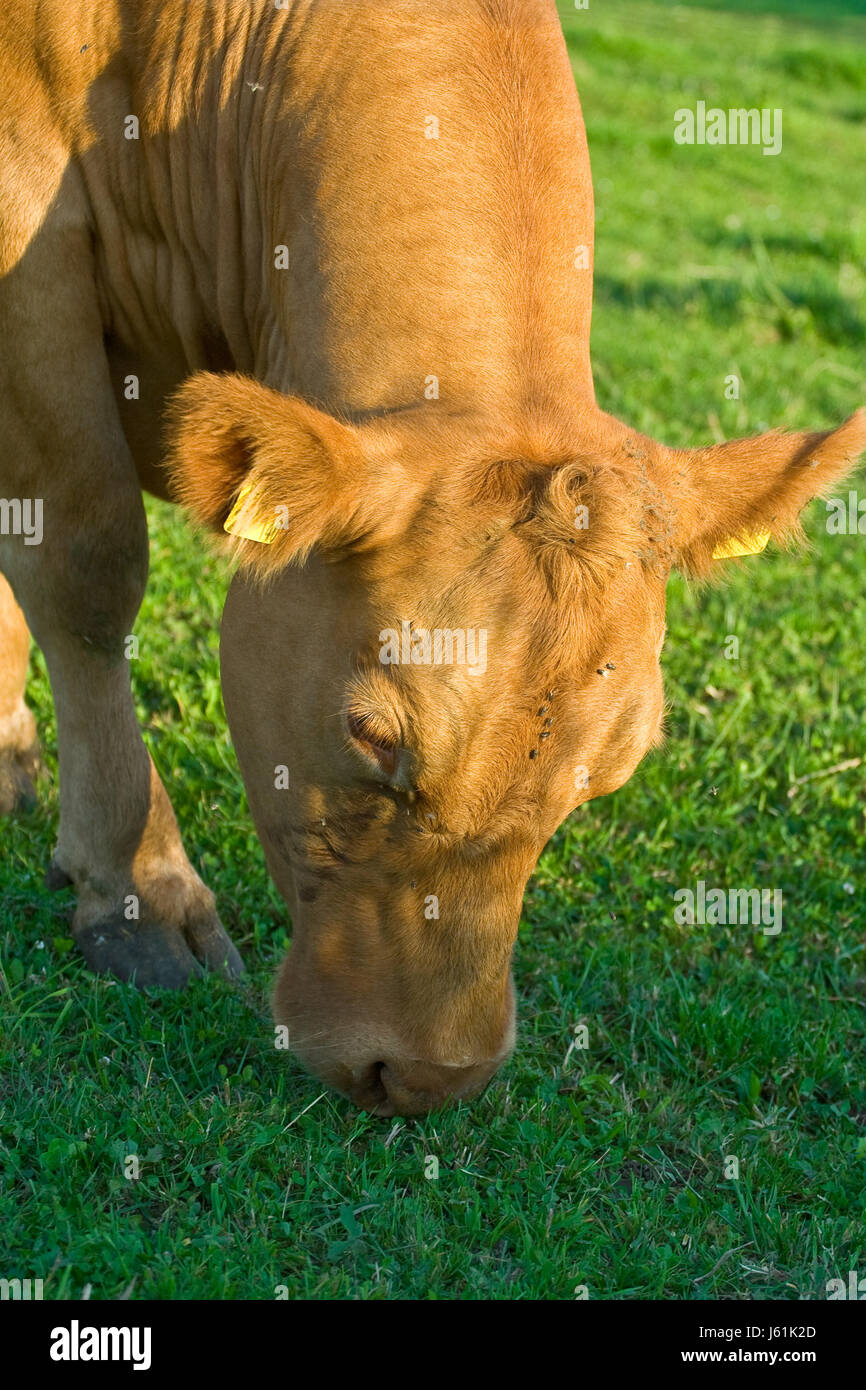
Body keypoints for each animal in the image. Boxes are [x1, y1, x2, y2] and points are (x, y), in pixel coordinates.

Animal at [0, 0, 862, 1116]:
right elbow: (85, 558)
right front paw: (133, 889)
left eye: (611, 773)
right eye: (369, 736)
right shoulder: (27, 224)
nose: (427, 1073)